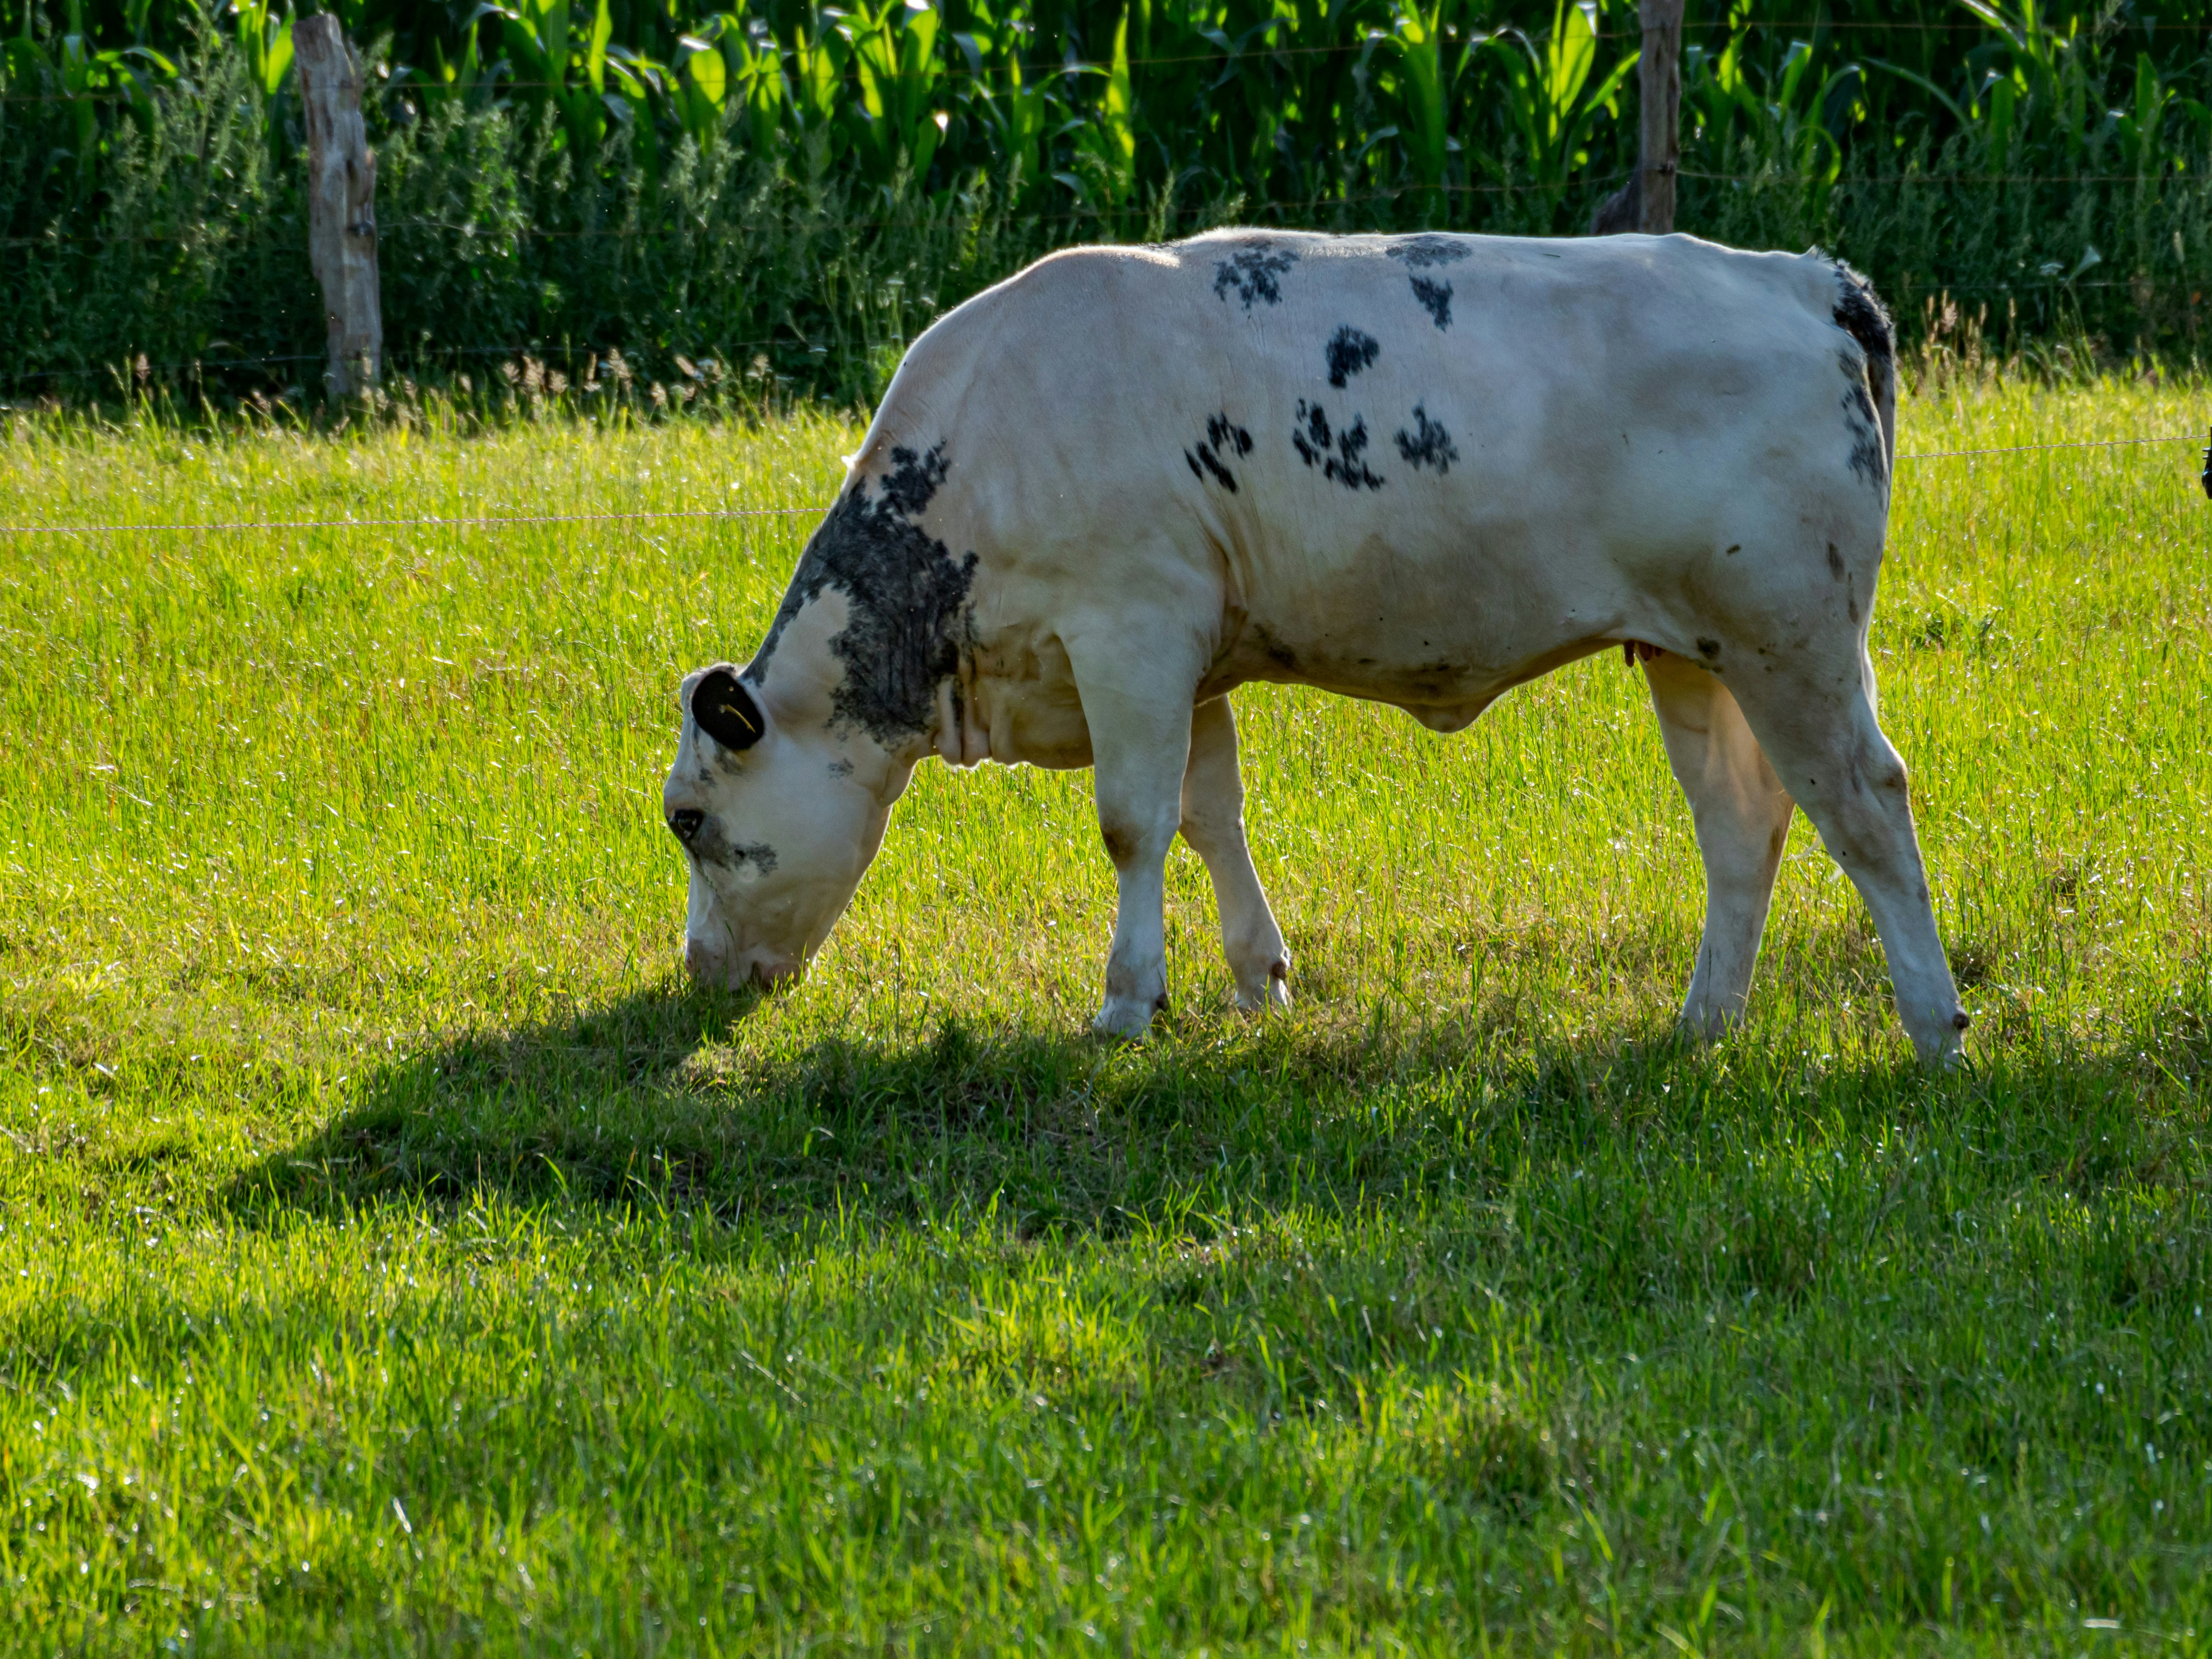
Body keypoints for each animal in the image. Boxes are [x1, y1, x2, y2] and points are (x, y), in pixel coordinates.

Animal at [663, 228, 1971, 1068]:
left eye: (687, 818)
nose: (695, 975)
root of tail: (1801, 279)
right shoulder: (1189, 655)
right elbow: (1208, 814)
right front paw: (1256, 981)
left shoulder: (1130, 627)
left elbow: (1132, 824)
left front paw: (1126, 1005)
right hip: (1698, 650)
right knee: (1742, 822)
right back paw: (1705, 1023)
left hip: (1793, 640)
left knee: (1866, 804)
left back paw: (1934, 1028)